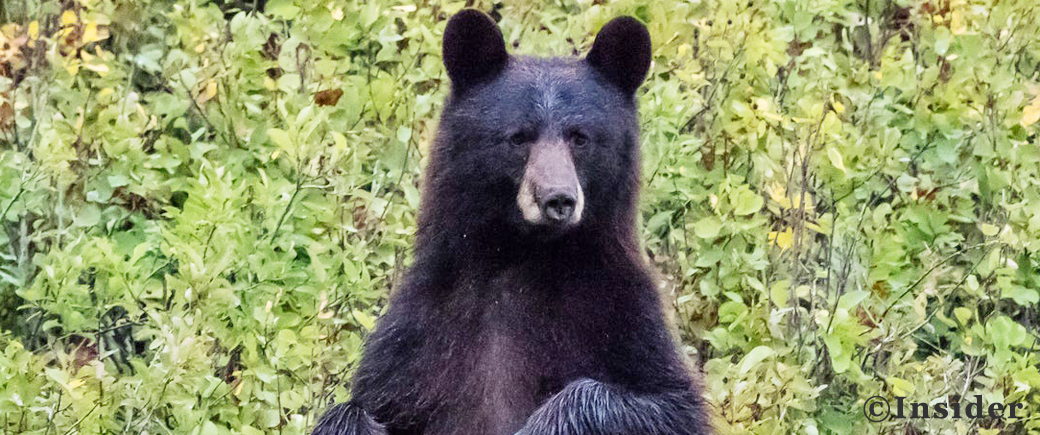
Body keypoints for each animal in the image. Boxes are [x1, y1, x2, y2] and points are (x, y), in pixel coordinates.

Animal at [312, 9, 710, 435]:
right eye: (519, 137)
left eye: (580, 137)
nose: (558, 199)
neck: (521, 258)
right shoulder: (419, 336)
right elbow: (363, 403)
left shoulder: (622, 315)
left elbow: (666, 403)